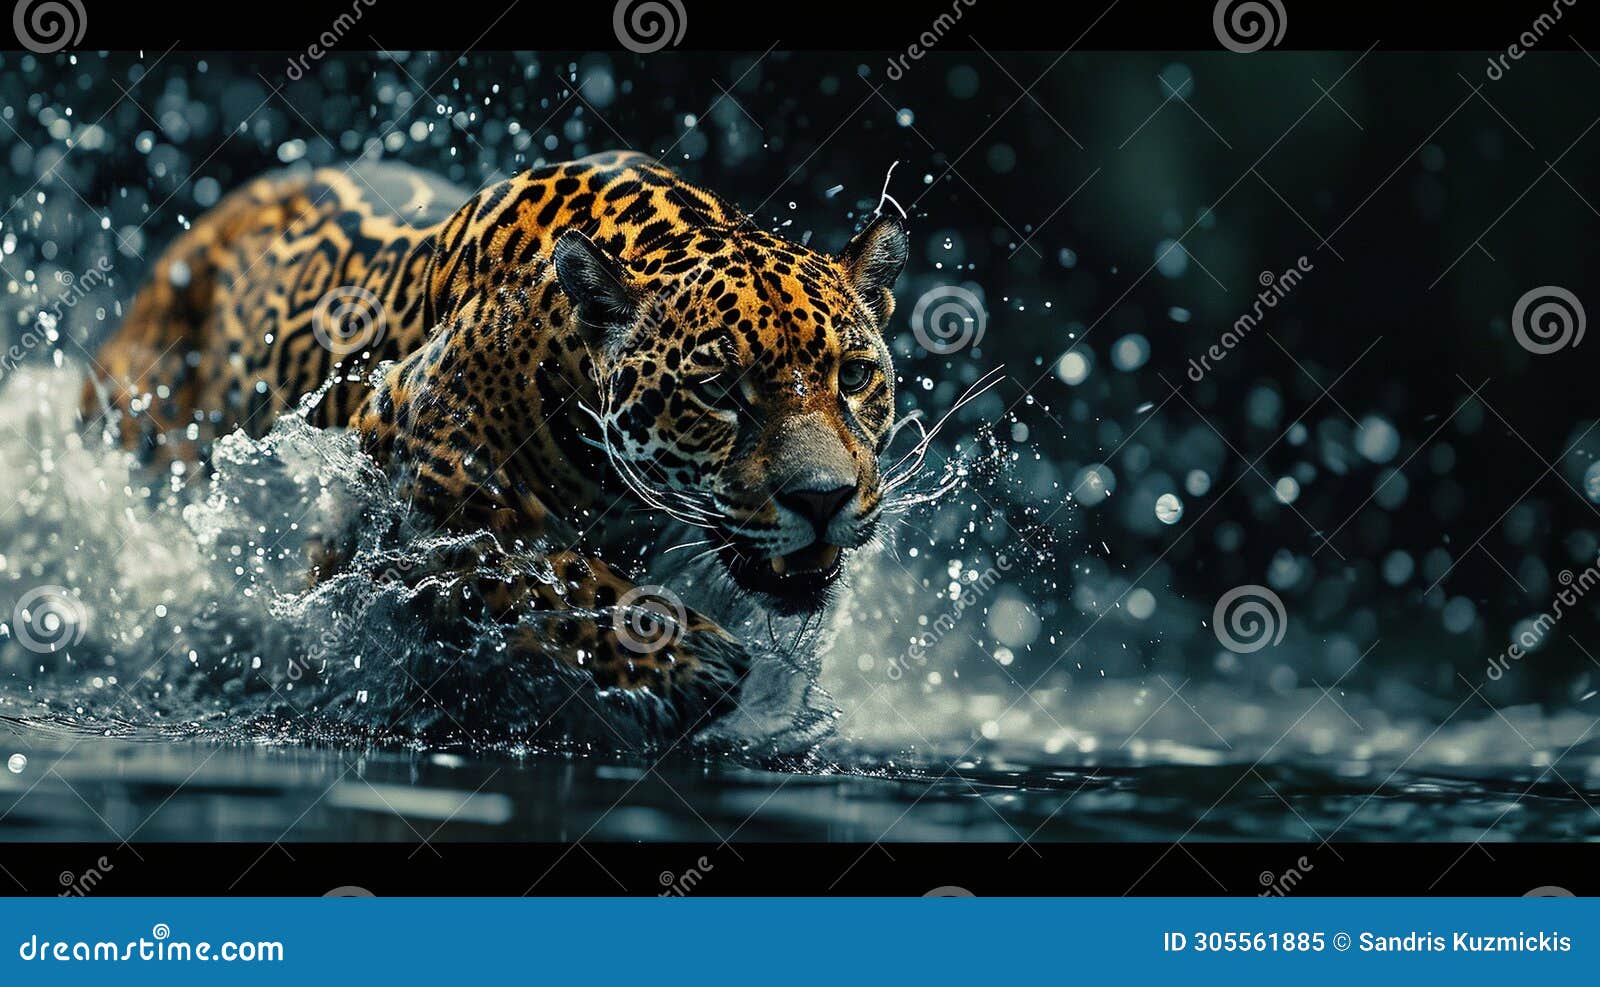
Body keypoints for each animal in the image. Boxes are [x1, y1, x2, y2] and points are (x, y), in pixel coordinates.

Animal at [81, 150, 910, 741]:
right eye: (718, 390)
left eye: (854, 374)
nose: (823, 498)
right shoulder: (419, 475)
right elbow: (544, 570)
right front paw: (684, 657)